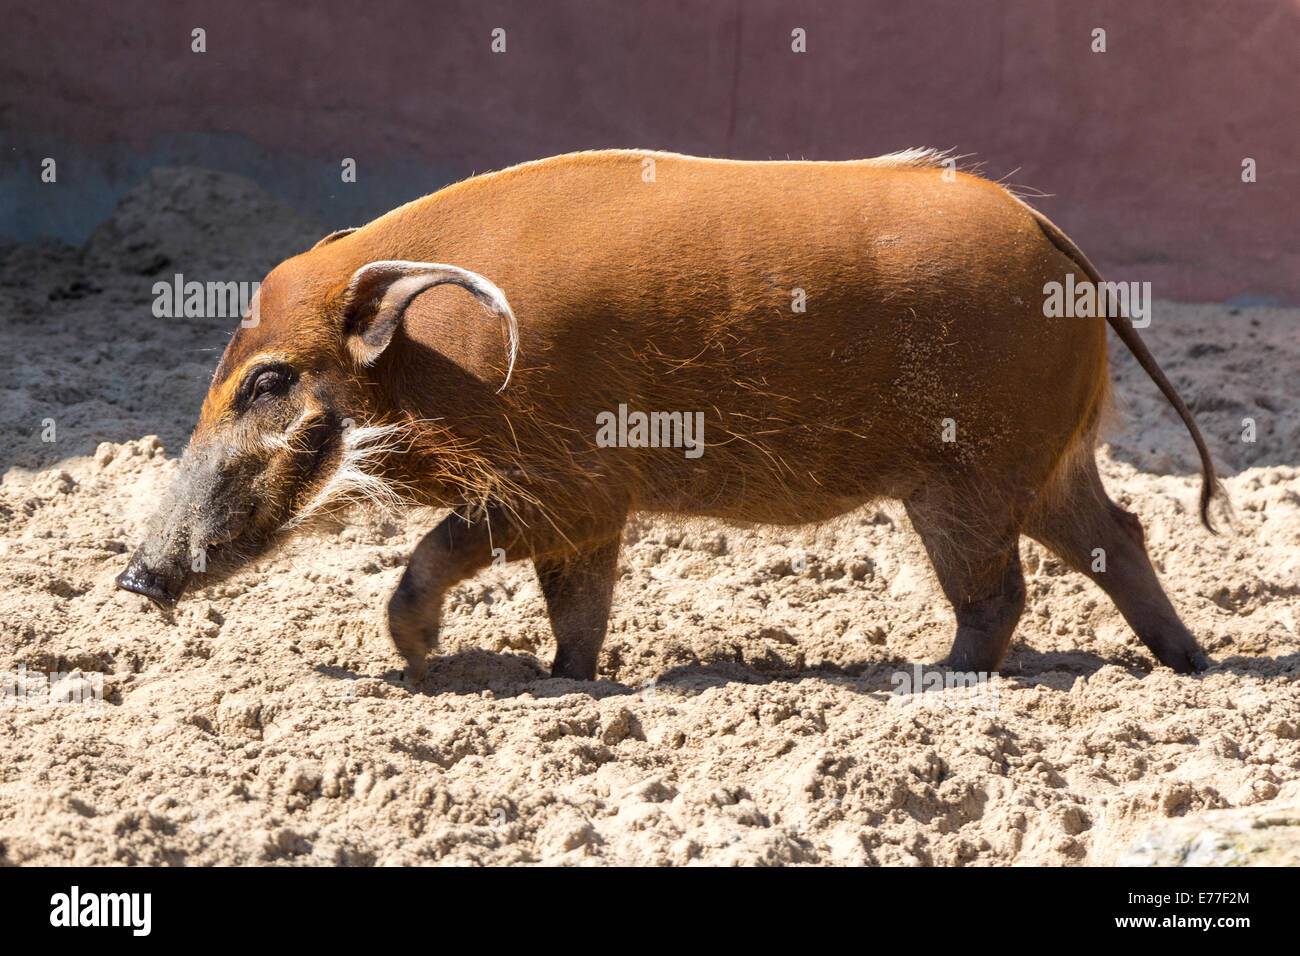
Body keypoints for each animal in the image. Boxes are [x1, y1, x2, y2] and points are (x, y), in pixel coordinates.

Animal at [116, 148, 1223, 681]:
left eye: (268, 381)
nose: (135, 578)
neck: (442, 358)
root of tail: (1056, 239)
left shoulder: (562, 487)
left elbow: (438, 553)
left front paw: (424, 662)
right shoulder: (589, 515)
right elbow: (577, 613)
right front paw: (561, 685)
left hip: (969, 478)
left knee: (1001, 596)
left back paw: (938, 679)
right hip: (1038, 466)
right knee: (1119, 535)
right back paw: (1191, 663)